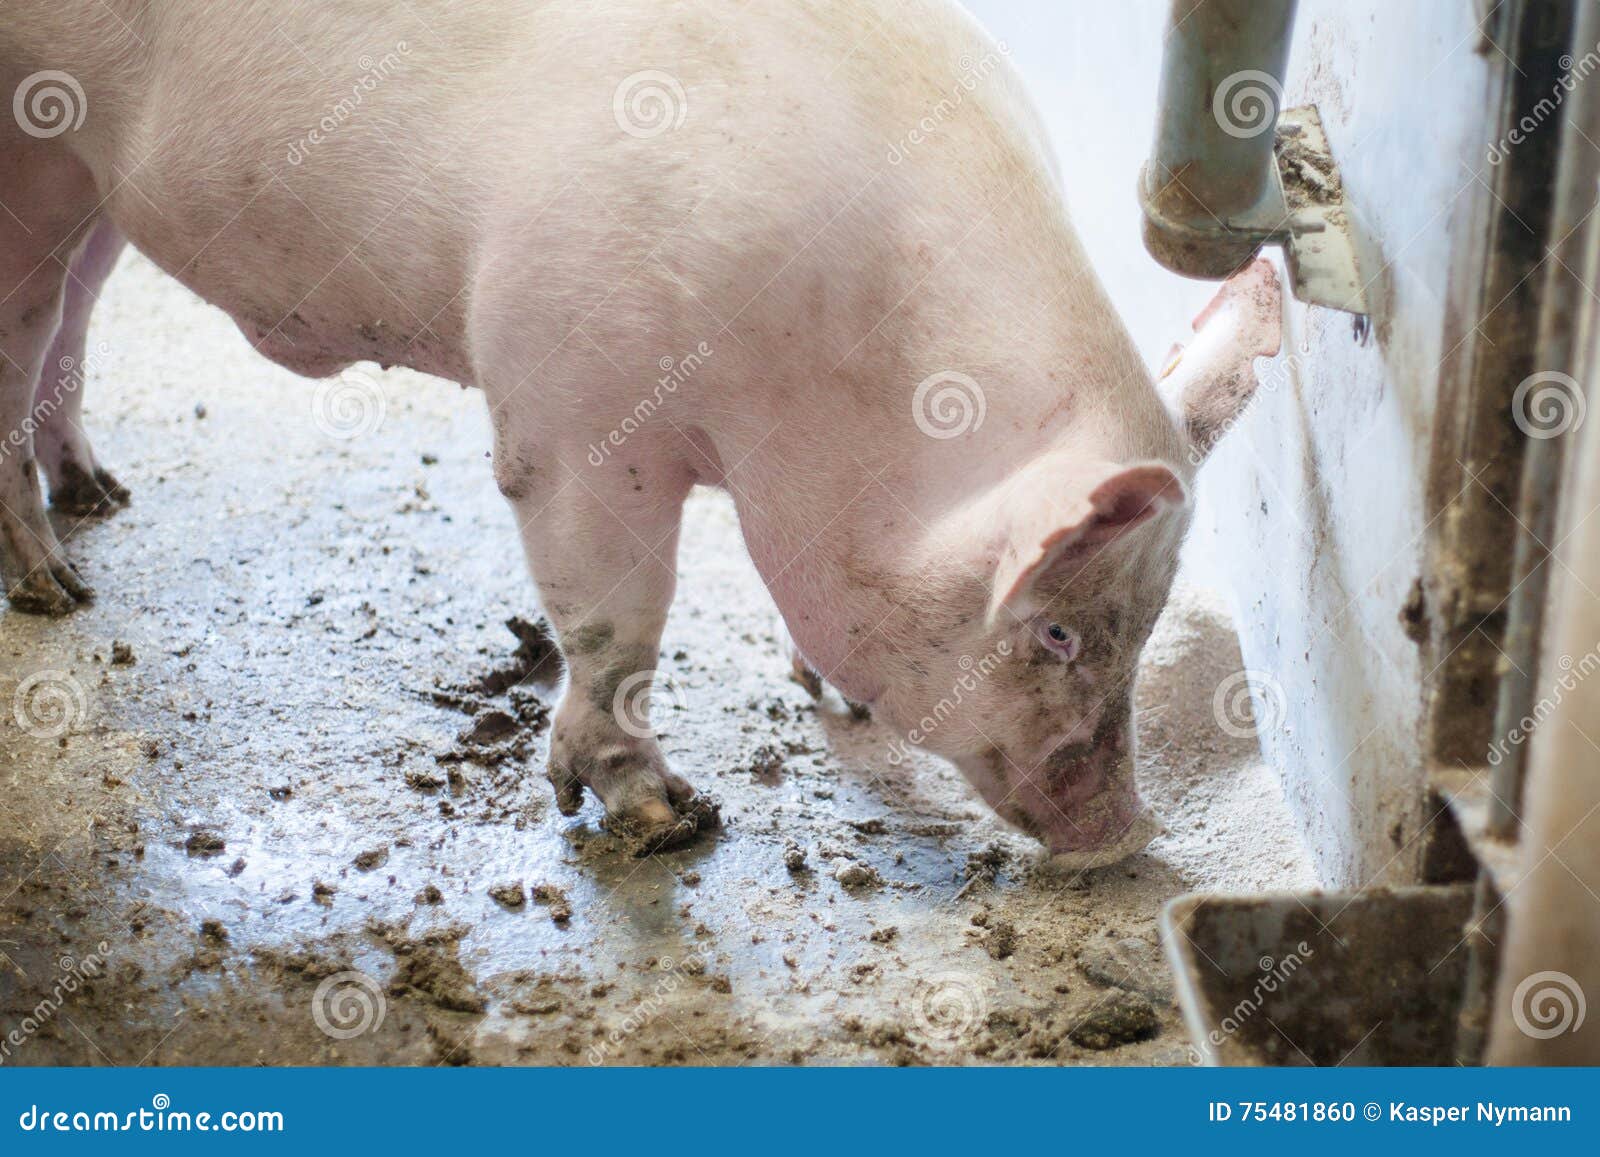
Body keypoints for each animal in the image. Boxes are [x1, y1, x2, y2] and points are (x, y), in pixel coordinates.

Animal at [0, 1, 1279, 866]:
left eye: (1149, 615)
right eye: (1056, 630)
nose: (1128, 833)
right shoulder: (568, 407)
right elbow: (618, 620)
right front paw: (666, 820)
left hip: (96, 180)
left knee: (80, 304)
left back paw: (102, 493)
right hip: (33, 135)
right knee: (26, 329)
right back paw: (54, 589)